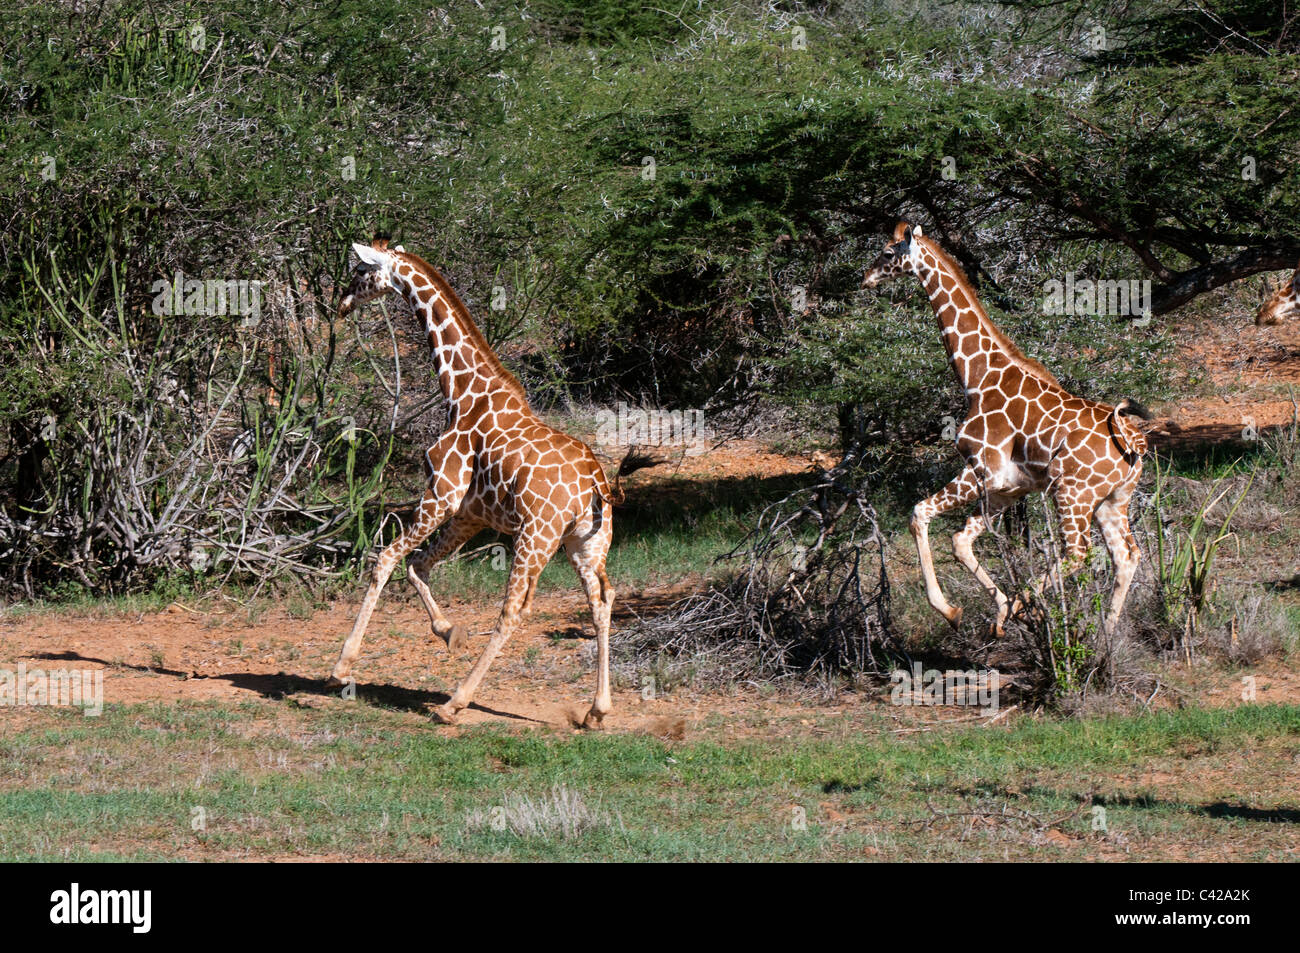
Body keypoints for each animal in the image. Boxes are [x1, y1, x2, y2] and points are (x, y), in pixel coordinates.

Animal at [325, 238, 619, 728]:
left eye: (360, 271)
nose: (341, 302)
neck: (460, 390)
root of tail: (596, 486)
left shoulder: (441, 495)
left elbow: (384, 559)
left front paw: (342, 667)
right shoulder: (469, 515)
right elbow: (417, 565)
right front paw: (449, 633)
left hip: (535, 537)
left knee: (513, 610)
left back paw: (454, 703)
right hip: (585, 543)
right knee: (602, 600)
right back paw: (596, 710)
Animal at [861, 222, 1151, 635]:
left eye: (887, 252)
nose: (865, 278)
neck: (976, 376)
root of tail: (1134, 441)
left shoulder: (981, 470)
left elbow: (920, 513)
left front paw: (953, 610)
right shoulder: (1008, 488)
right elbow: (960, 540)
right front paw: (998, 612)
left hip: (1072, 492)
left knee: (1077, 553)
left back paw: (1034, 610)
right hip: (1113, 500)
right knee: (1126, 555)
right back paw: (1103, 639)